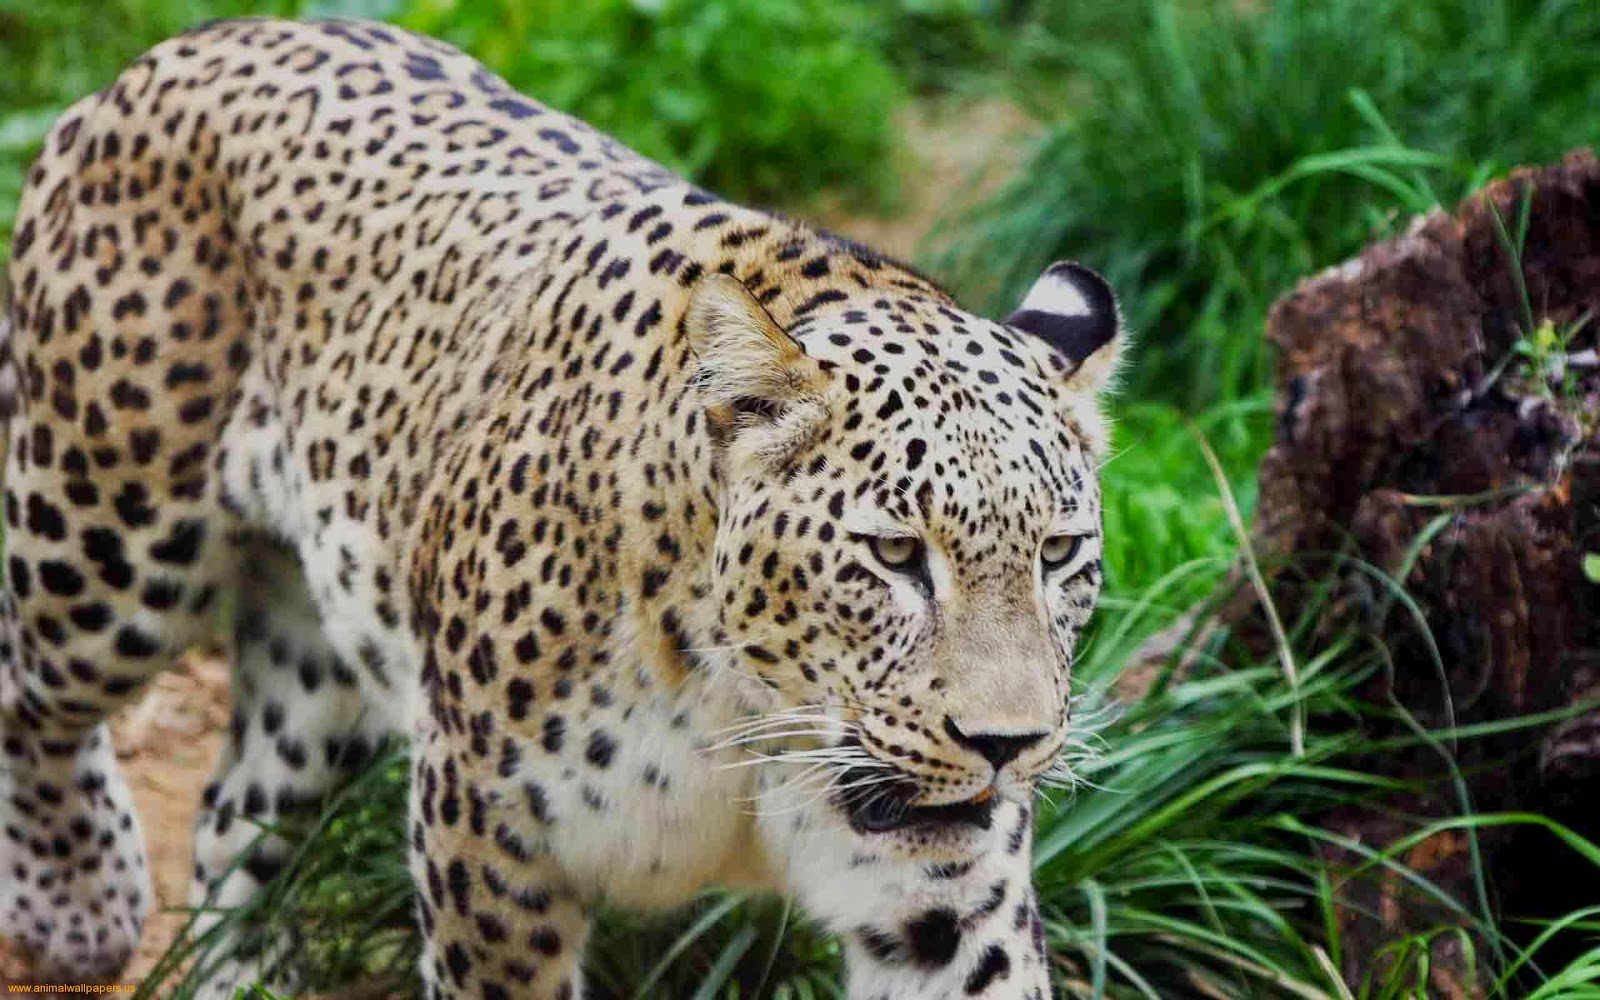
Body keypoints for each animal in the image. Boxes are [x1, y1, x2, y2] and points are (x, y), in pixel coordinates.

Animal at [0, 17, 1124, 999]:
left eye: (1059, 553)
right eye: (894, 555)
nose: (1006, 744)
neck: (749, 717)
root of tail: (194, 43)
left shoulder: (945, 899)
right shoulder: (485, 834)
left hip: (321, 653)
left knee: (232, 811)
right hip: (102, 541)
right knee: (29, 693)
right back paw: (82, 905)